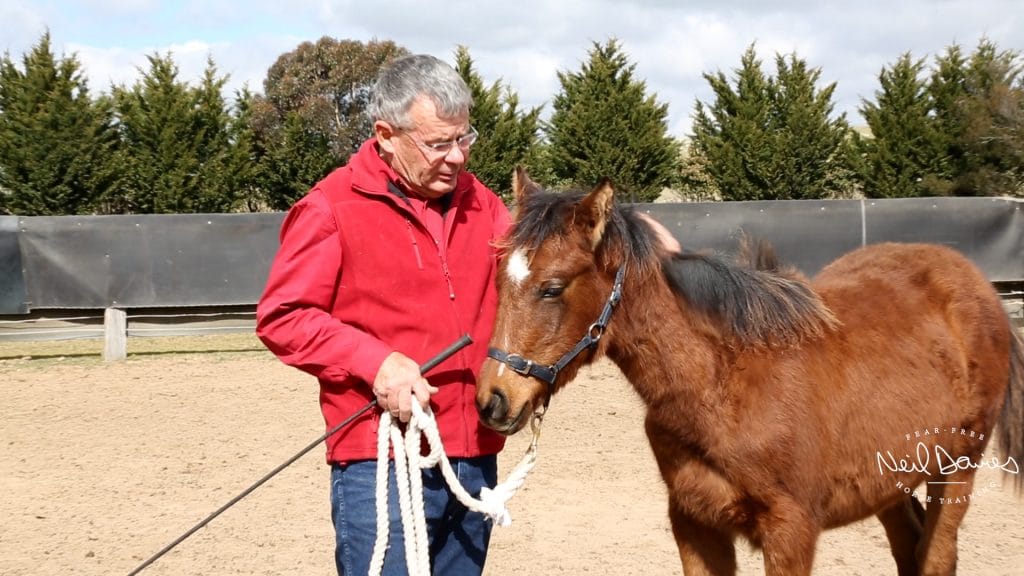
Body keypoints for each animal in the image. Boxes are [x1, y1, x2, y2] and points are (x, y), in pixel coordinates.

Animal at [475, 168, 1024, 576]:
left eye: (552, 288)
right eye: (499, 279)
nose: (492, 399)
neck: (723, 384)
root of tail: (975, 282)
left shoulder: (791, 532)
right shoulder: (694, 523)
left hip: (957, 470)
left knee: (936, 555)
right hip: (892, 479)